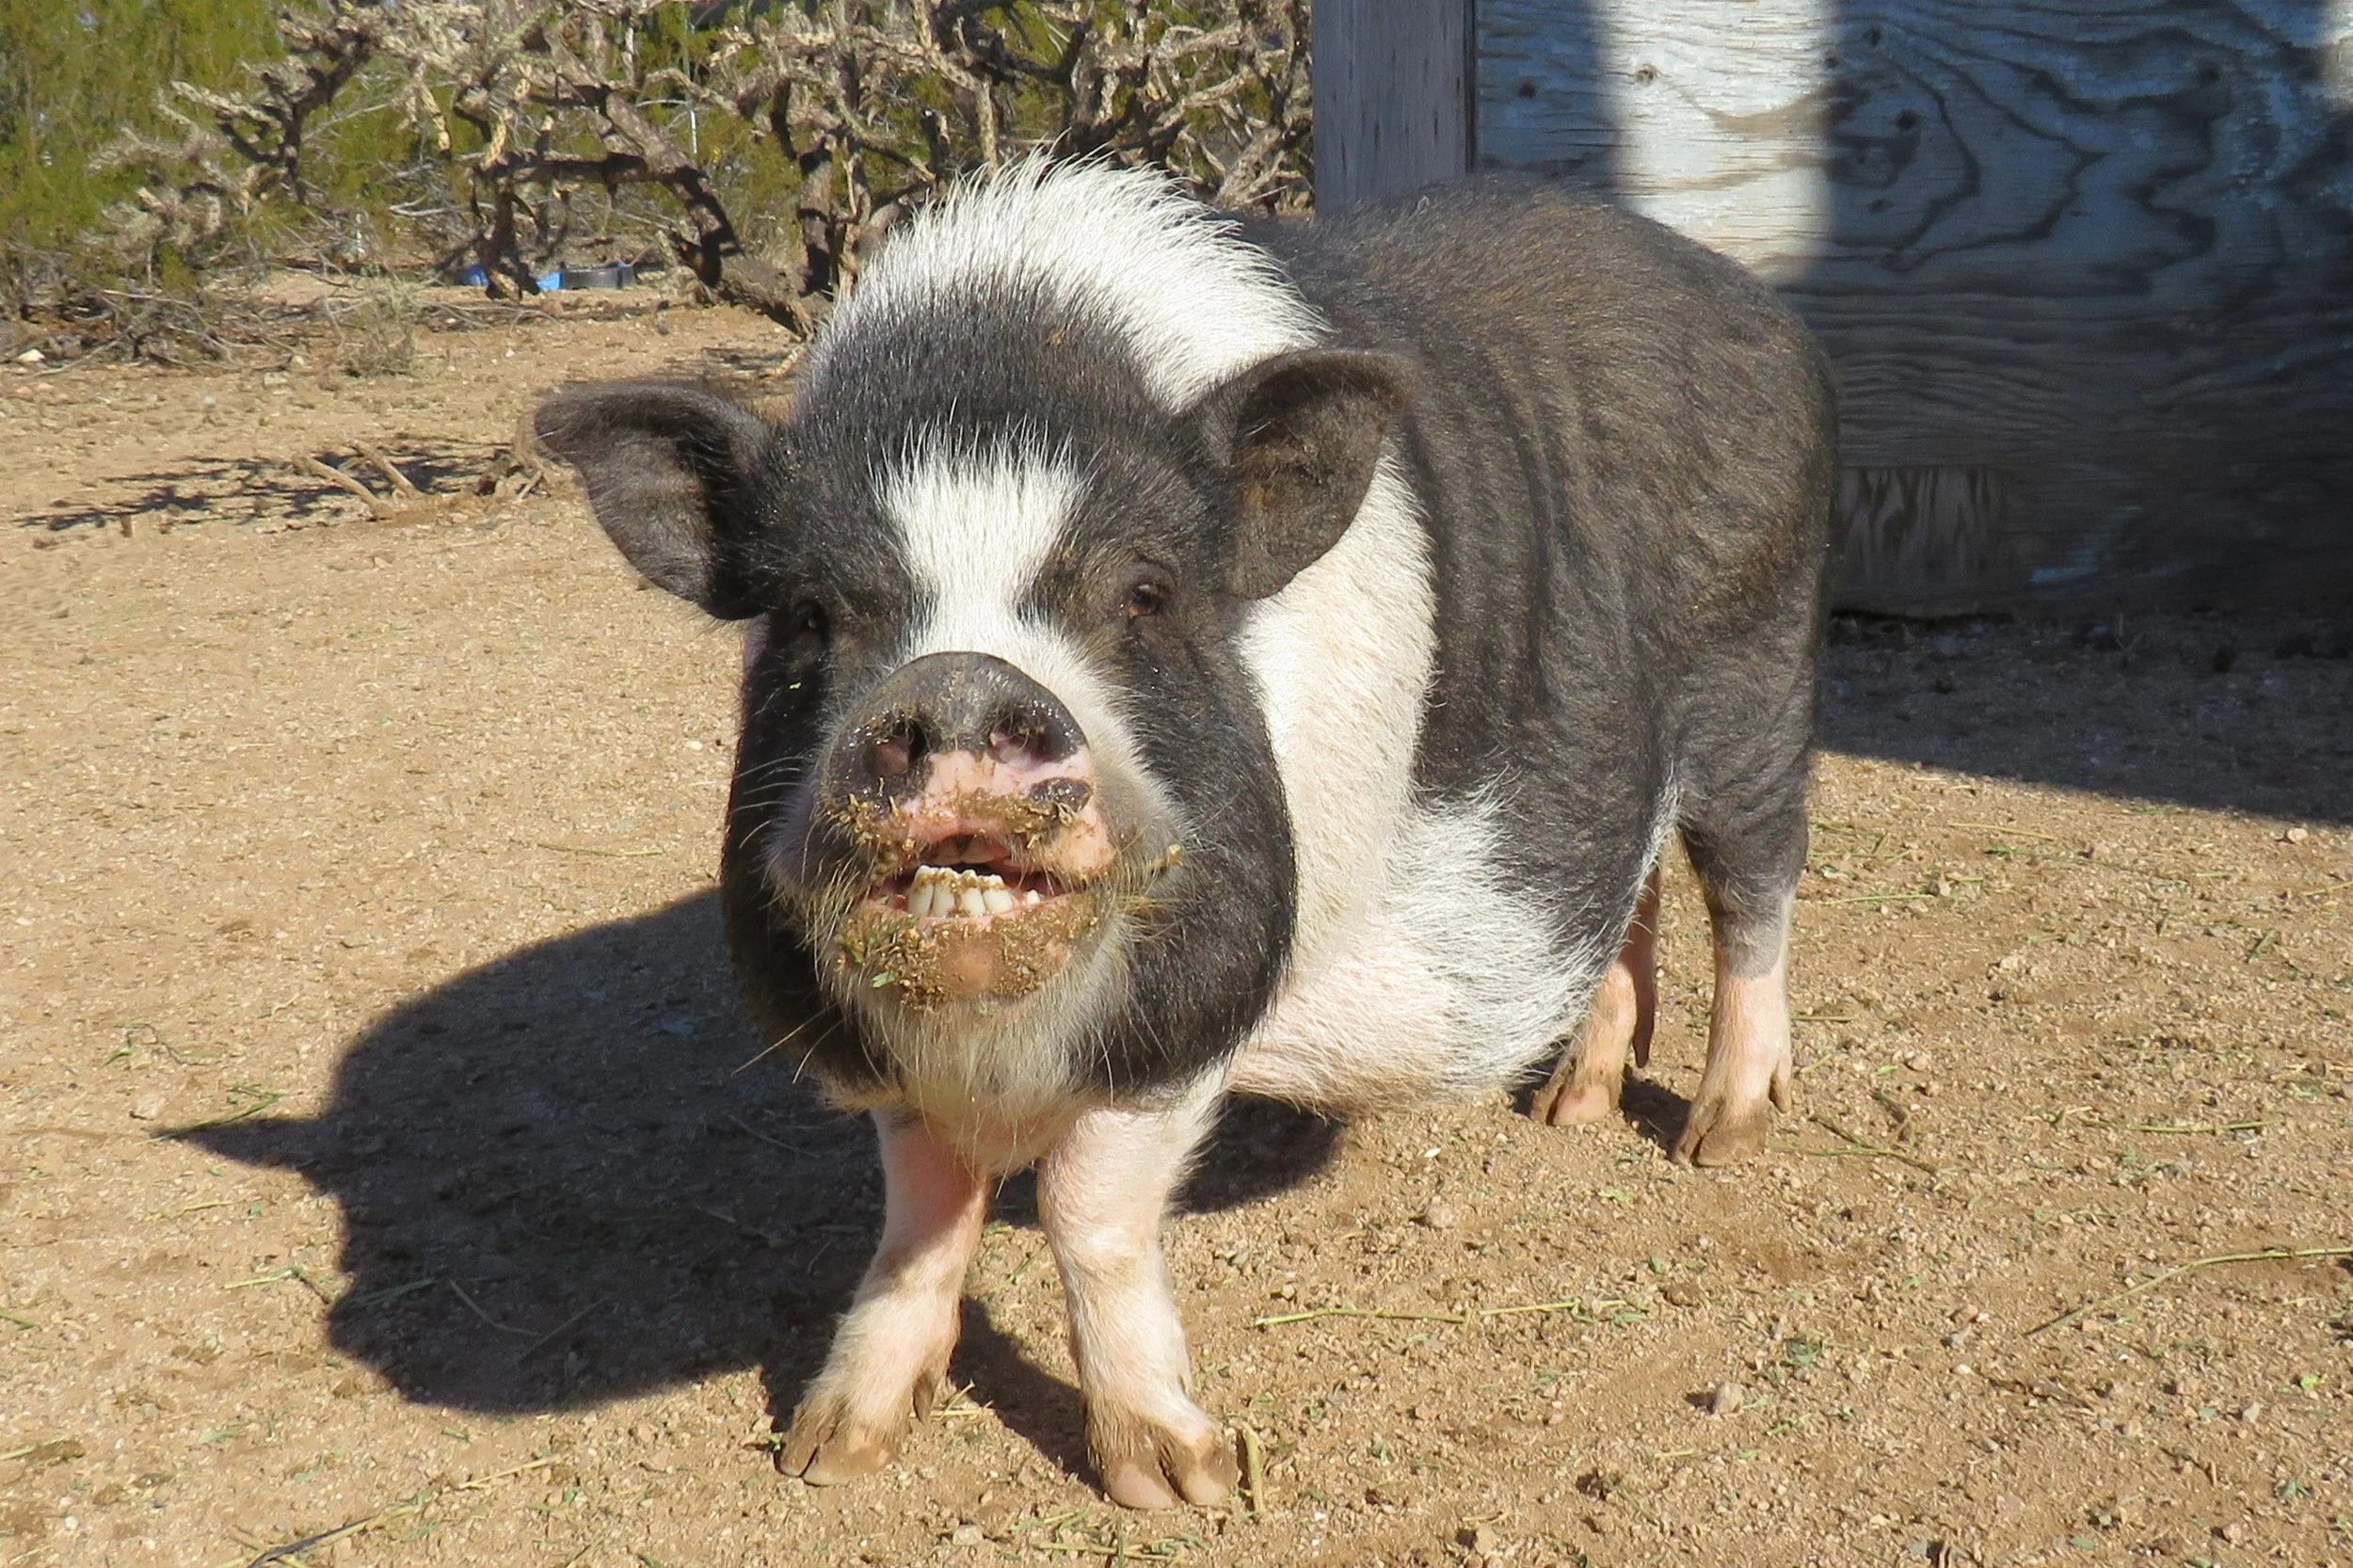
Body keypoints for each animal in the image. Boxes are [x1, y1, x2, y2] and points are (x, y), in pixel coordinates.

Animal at [532, 160, 1836, 1510]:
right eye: (806, 612)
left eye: (1145, 593)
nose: (956, 680)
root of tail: (1743, 295)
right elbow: (921, 1207)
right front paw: (830, 1449)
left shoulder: (1197, 989)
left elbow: (1090, 1214)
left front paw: (1185, 1483)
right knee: (1629, 878)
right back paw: (1567, 1108)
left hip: (1759, 660)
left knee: (1754, 883)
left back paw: (1720, 1137)